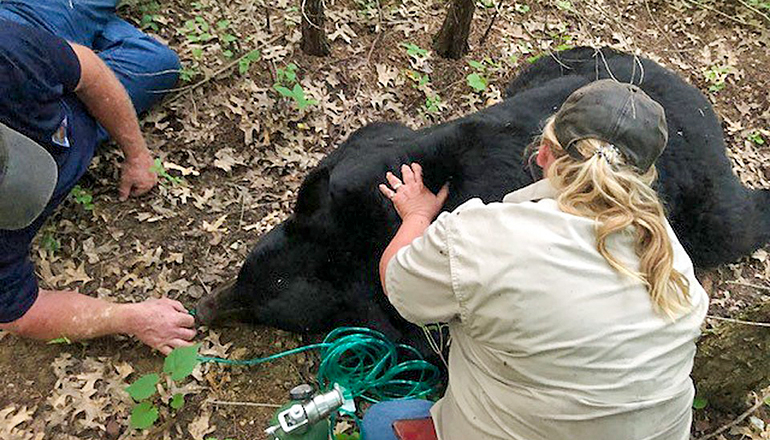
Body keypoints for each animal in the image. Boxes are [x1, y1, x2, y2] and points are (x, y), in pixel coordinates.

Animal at [195, 47, 770, 357]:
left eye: (262, 304)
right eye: (246, 272)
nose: (203, 307)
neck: (358, 226)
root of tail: (700, 106)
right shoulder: (369, 154)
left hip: (703, 198)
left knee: (732, 223)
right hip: (564, 66)